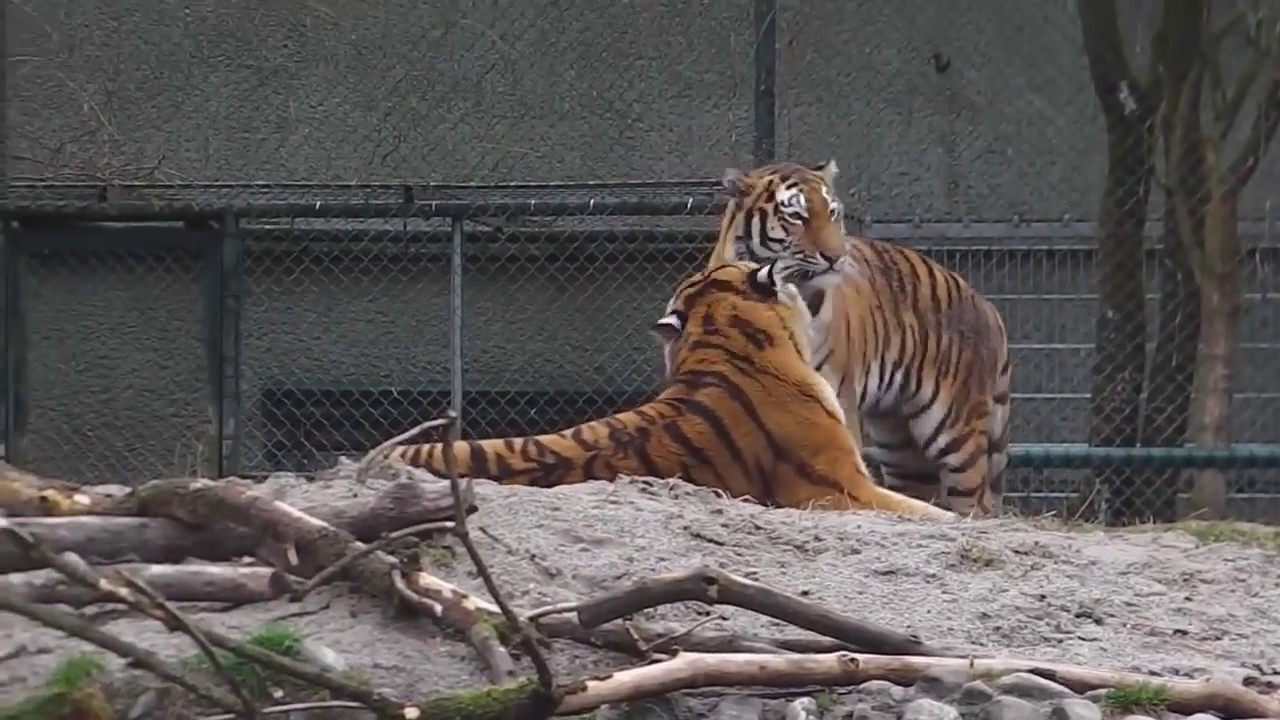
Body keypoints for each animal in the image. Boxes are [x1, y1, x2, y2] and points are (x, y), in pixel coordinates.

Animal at [710, 158, 1012, 517]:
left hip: (955, 435)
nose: (835, 256)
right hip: (899, 443)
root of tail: (988, 306)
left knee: (977, 501)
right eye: (796, 216)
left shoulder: (835, 393)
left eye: (833, 212)